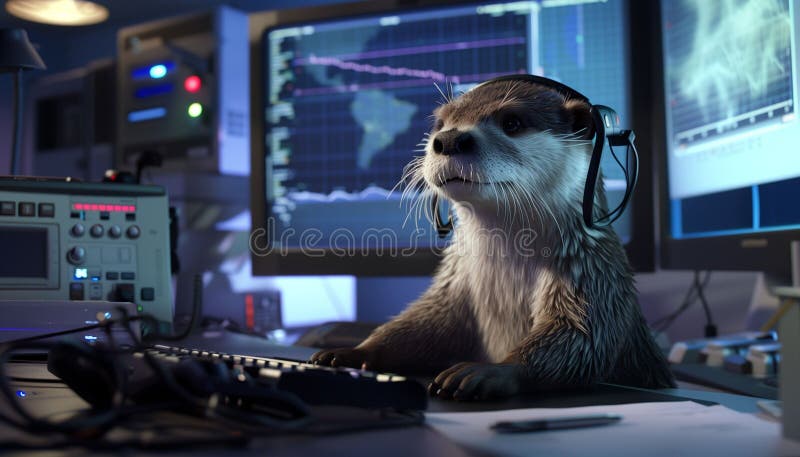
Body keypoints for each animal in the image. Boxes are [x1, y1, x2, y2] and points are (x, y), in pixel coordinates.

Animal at [311, 77, 675, 400]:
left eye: (512, 122)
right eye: (441, 122)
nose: (448, 139)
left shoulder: (592, 274)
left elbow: (580, 337)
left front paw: (489, 371)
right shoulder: (453, 287)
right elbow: (421, 325)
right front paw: (352, 351)